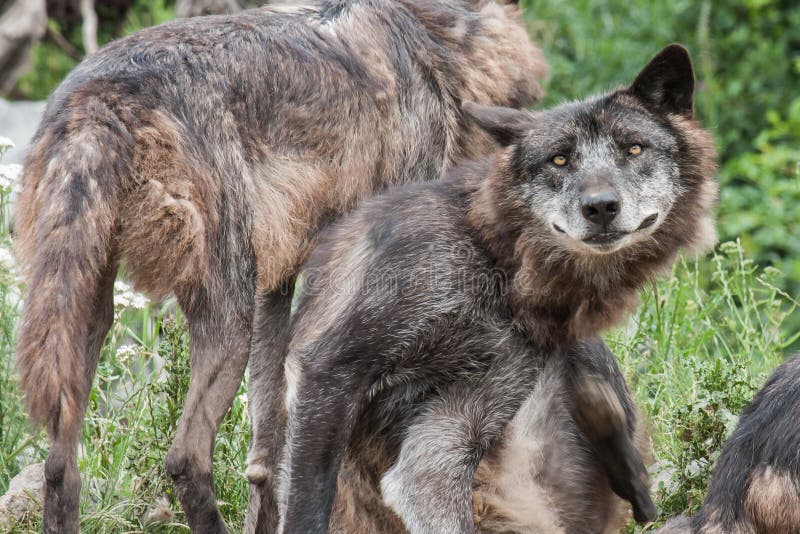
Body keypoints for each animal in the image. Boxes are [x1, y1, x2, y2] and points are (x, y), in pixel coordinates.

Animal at [11, 1, 547, 532]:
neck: (432, 35)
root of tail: (97, 100)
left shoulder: (279, 286)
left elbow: (266, 452)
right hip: (227, 322)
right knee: (185, 458)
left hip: (88, 320)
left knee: (60, 467)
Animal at [278, 44, 718, 533]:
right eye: (559, 159)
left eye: (634, 148)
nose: (601, 207)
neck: (497, 265)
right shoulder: (332, 367)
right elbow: (308, 507)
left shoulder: (456, 425)